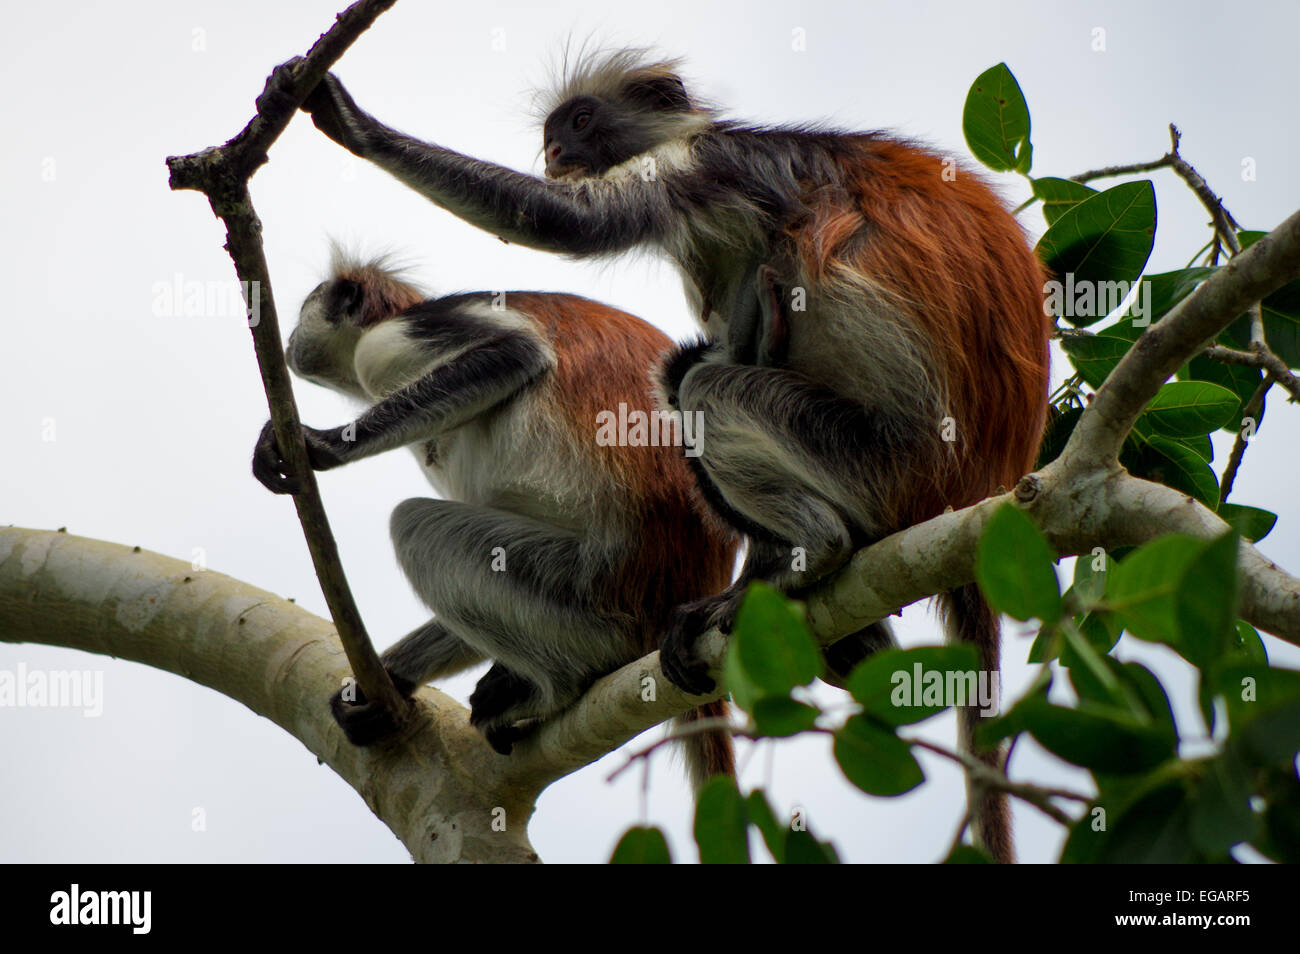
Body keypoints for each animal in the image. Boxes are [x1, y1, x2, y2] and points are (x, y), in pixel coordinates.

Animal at [251, 249, 739, 790]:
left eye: (304, 311)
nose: (290, 341)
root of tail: (692, 580)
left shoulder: (395, 338)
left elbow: (517, 353)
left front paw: (323, 445)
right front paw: (386, 682)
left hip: (593, 580)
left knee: (415, 526)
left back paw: (558, 684)